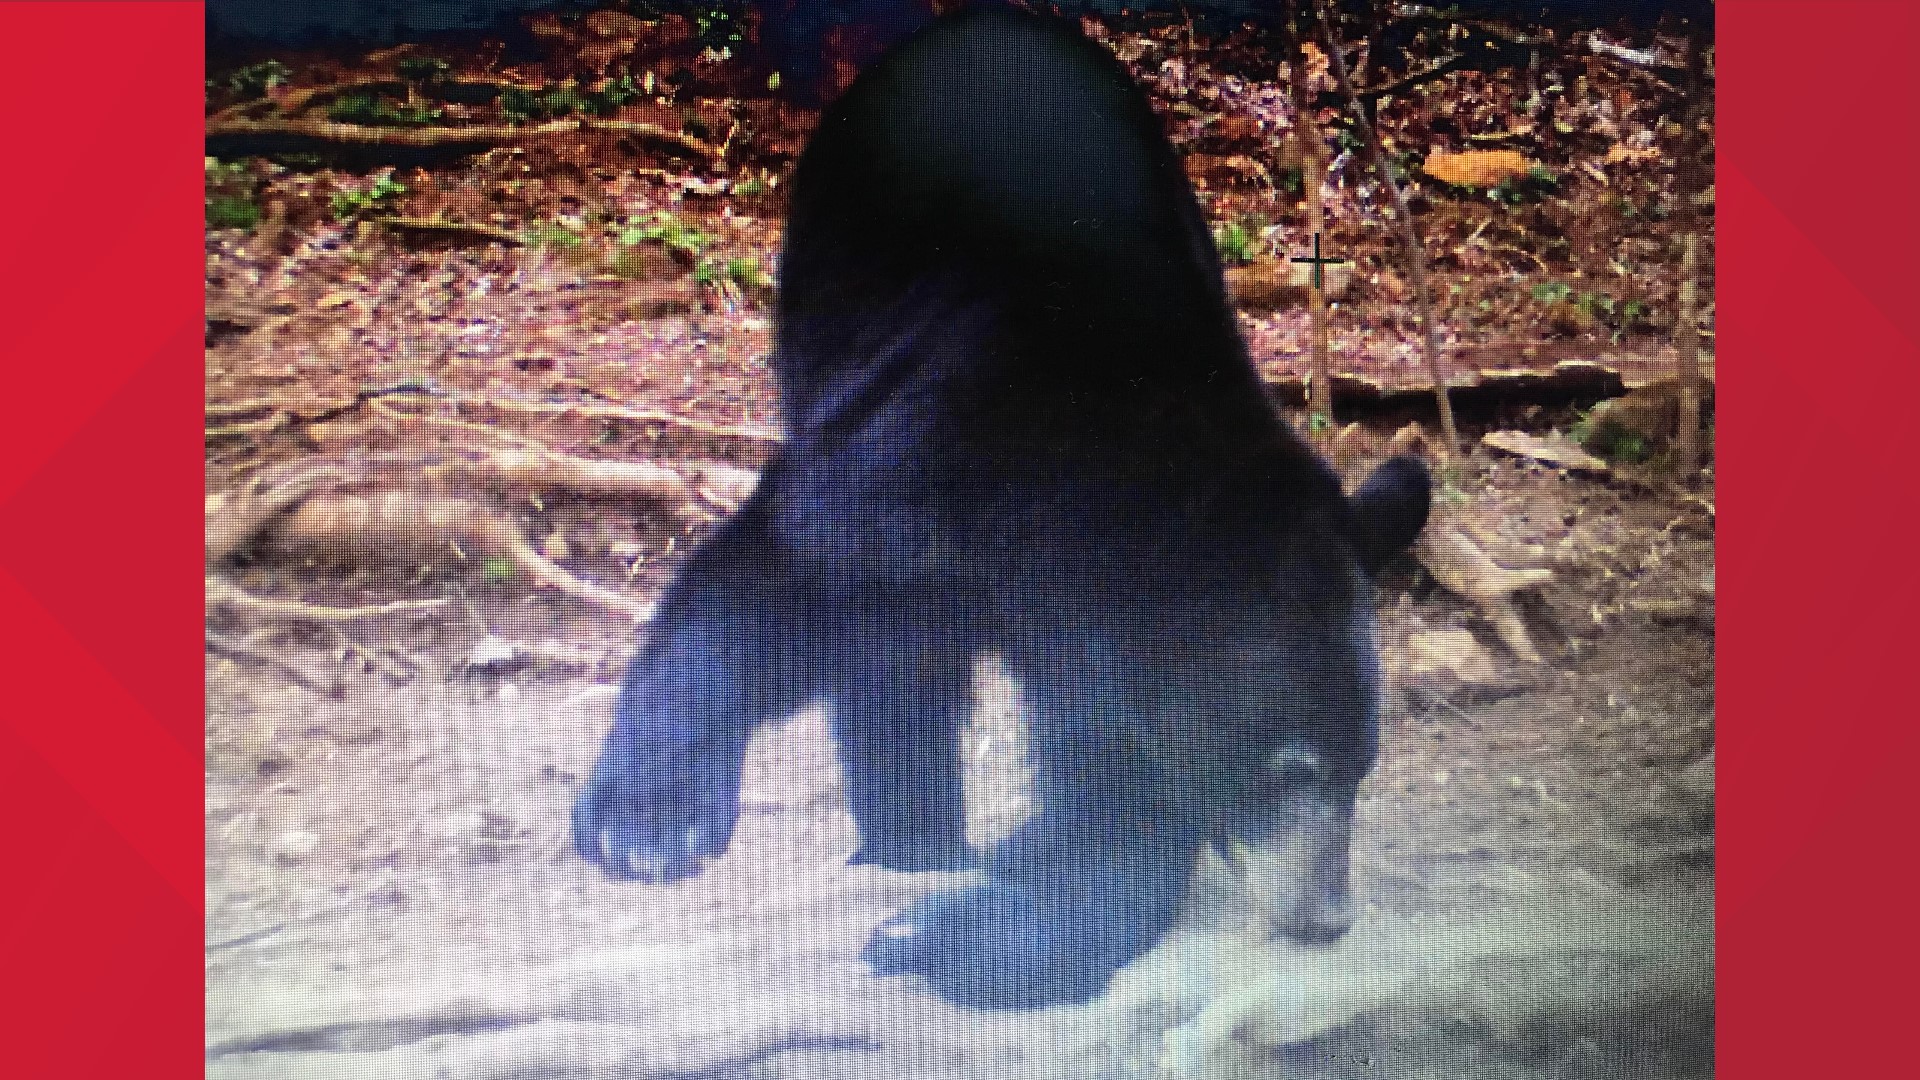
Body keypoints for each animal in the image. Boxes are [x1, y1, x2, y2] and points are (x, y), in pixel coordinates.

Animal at [571, 7, 1430, 1010]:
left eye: (1364, 769)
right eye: (1289, 770)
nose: (1328, 914)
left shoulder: (1093, 617)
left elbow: (1115, 774)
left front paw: (964, 929)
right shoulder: (927, 436)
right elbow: (797, 571)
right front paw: (650, 824)